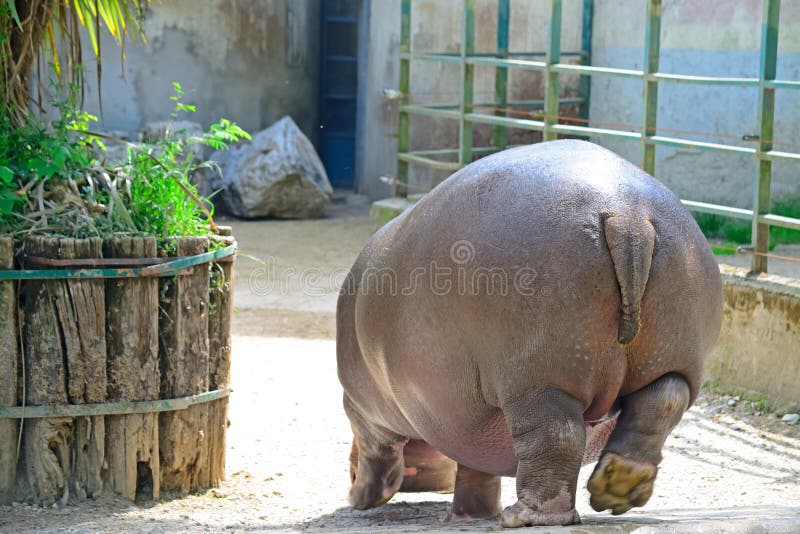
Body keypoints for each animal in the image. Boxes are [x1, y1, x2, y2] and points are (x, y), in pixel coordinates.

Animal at [336, 140, 723, 527]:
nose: (348, 476)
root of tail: (627, 216)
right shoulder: (469, 429)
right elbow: (477, 473)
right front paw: (472, 516)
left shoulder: (364, 413)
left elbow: (380, 458)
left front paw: (363, 498)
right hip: (668, 354)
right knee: (662, 400)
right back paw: (617, 485)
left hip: (539, 375)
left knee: (557, 435)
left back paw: (524, 516)